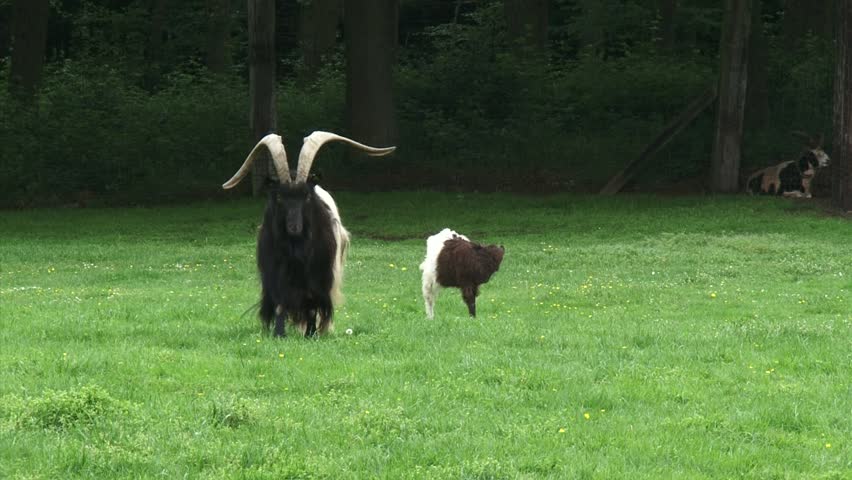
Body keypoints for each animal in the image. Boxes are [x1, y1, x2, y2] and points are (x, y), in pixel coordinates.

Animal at [223, 131, 396, 337]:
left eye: (306, 196)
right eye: (279, 196)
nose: (294, 227)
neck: (296, 248)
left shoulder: (319, 274)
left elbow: (313, 304)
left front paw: (311, 334)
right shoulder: (275, 271)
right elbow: (280, 302)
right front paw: (279, 334)